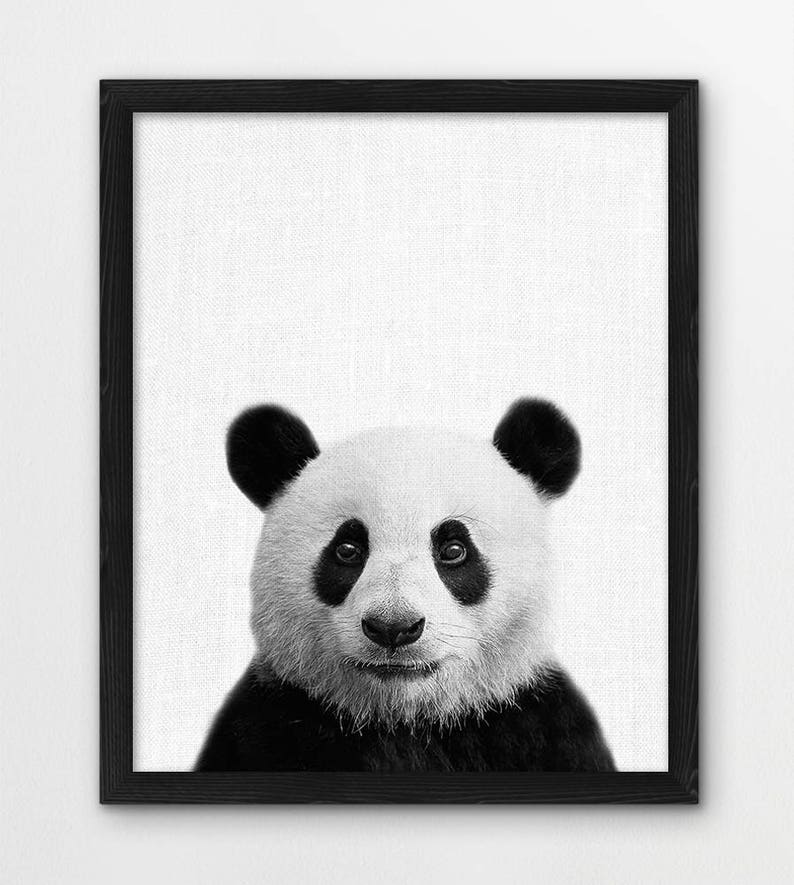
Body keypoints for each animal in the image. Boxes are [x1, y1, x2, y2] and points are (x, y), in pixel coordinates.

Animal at [196, 398, 615, 772]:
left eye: (454, 550)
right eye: (347, 550)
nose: (393, 627)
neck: (404, 719)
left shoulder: (540, 727)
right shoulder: (267, 725)